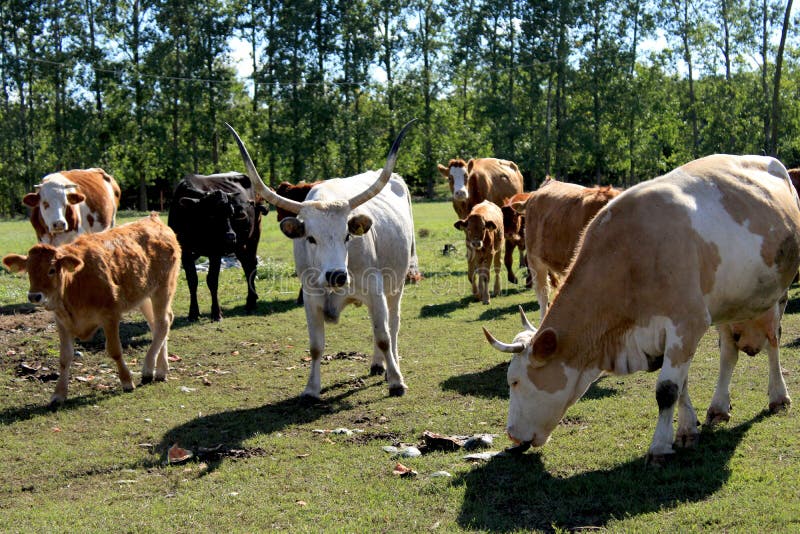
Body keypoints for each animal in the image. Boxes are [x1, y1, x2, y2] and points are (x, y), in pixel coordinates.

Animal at [2, 214, 181, 408]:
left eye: (52, 270)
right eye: (28, 270)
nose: (34, 296)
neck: (75, 283)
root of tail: (152, 218)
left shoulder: (110, 315)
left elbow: (114, 350)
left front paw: (126, 381)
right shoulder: (61, 321)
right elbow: (65, 357)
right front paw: (59, 394)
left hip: (163, 288)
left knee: (163, 323)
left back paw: (148, 369)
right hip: (143, 295)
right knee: (157, 325)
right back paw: (161, 369)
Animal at [168, 172, 269, 322]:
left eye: (231, 213)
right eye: (211, 215)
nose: (231, 236)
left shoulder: (215, 251)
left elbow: (212, 280)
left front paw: (216, 313)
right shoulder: (185, 251)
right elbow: (192, 280)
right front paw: (193, 313)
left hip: (253, 236)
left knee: (251, 264)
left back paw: (251, 302)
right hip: (239, 246)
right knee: (247, 264)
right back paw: (251, 300)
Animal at [227, 120, 416, 399]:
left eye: (347, 235)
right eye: (310, 238)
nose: (336, 275)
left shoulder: (375, 289)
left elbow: (383, 336)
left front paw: (396, 382)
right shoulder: (310, 297)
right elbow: (316, 346)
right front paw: (311, 389)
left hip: (395, 285)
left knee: (391, 326)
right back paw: (376, 364)